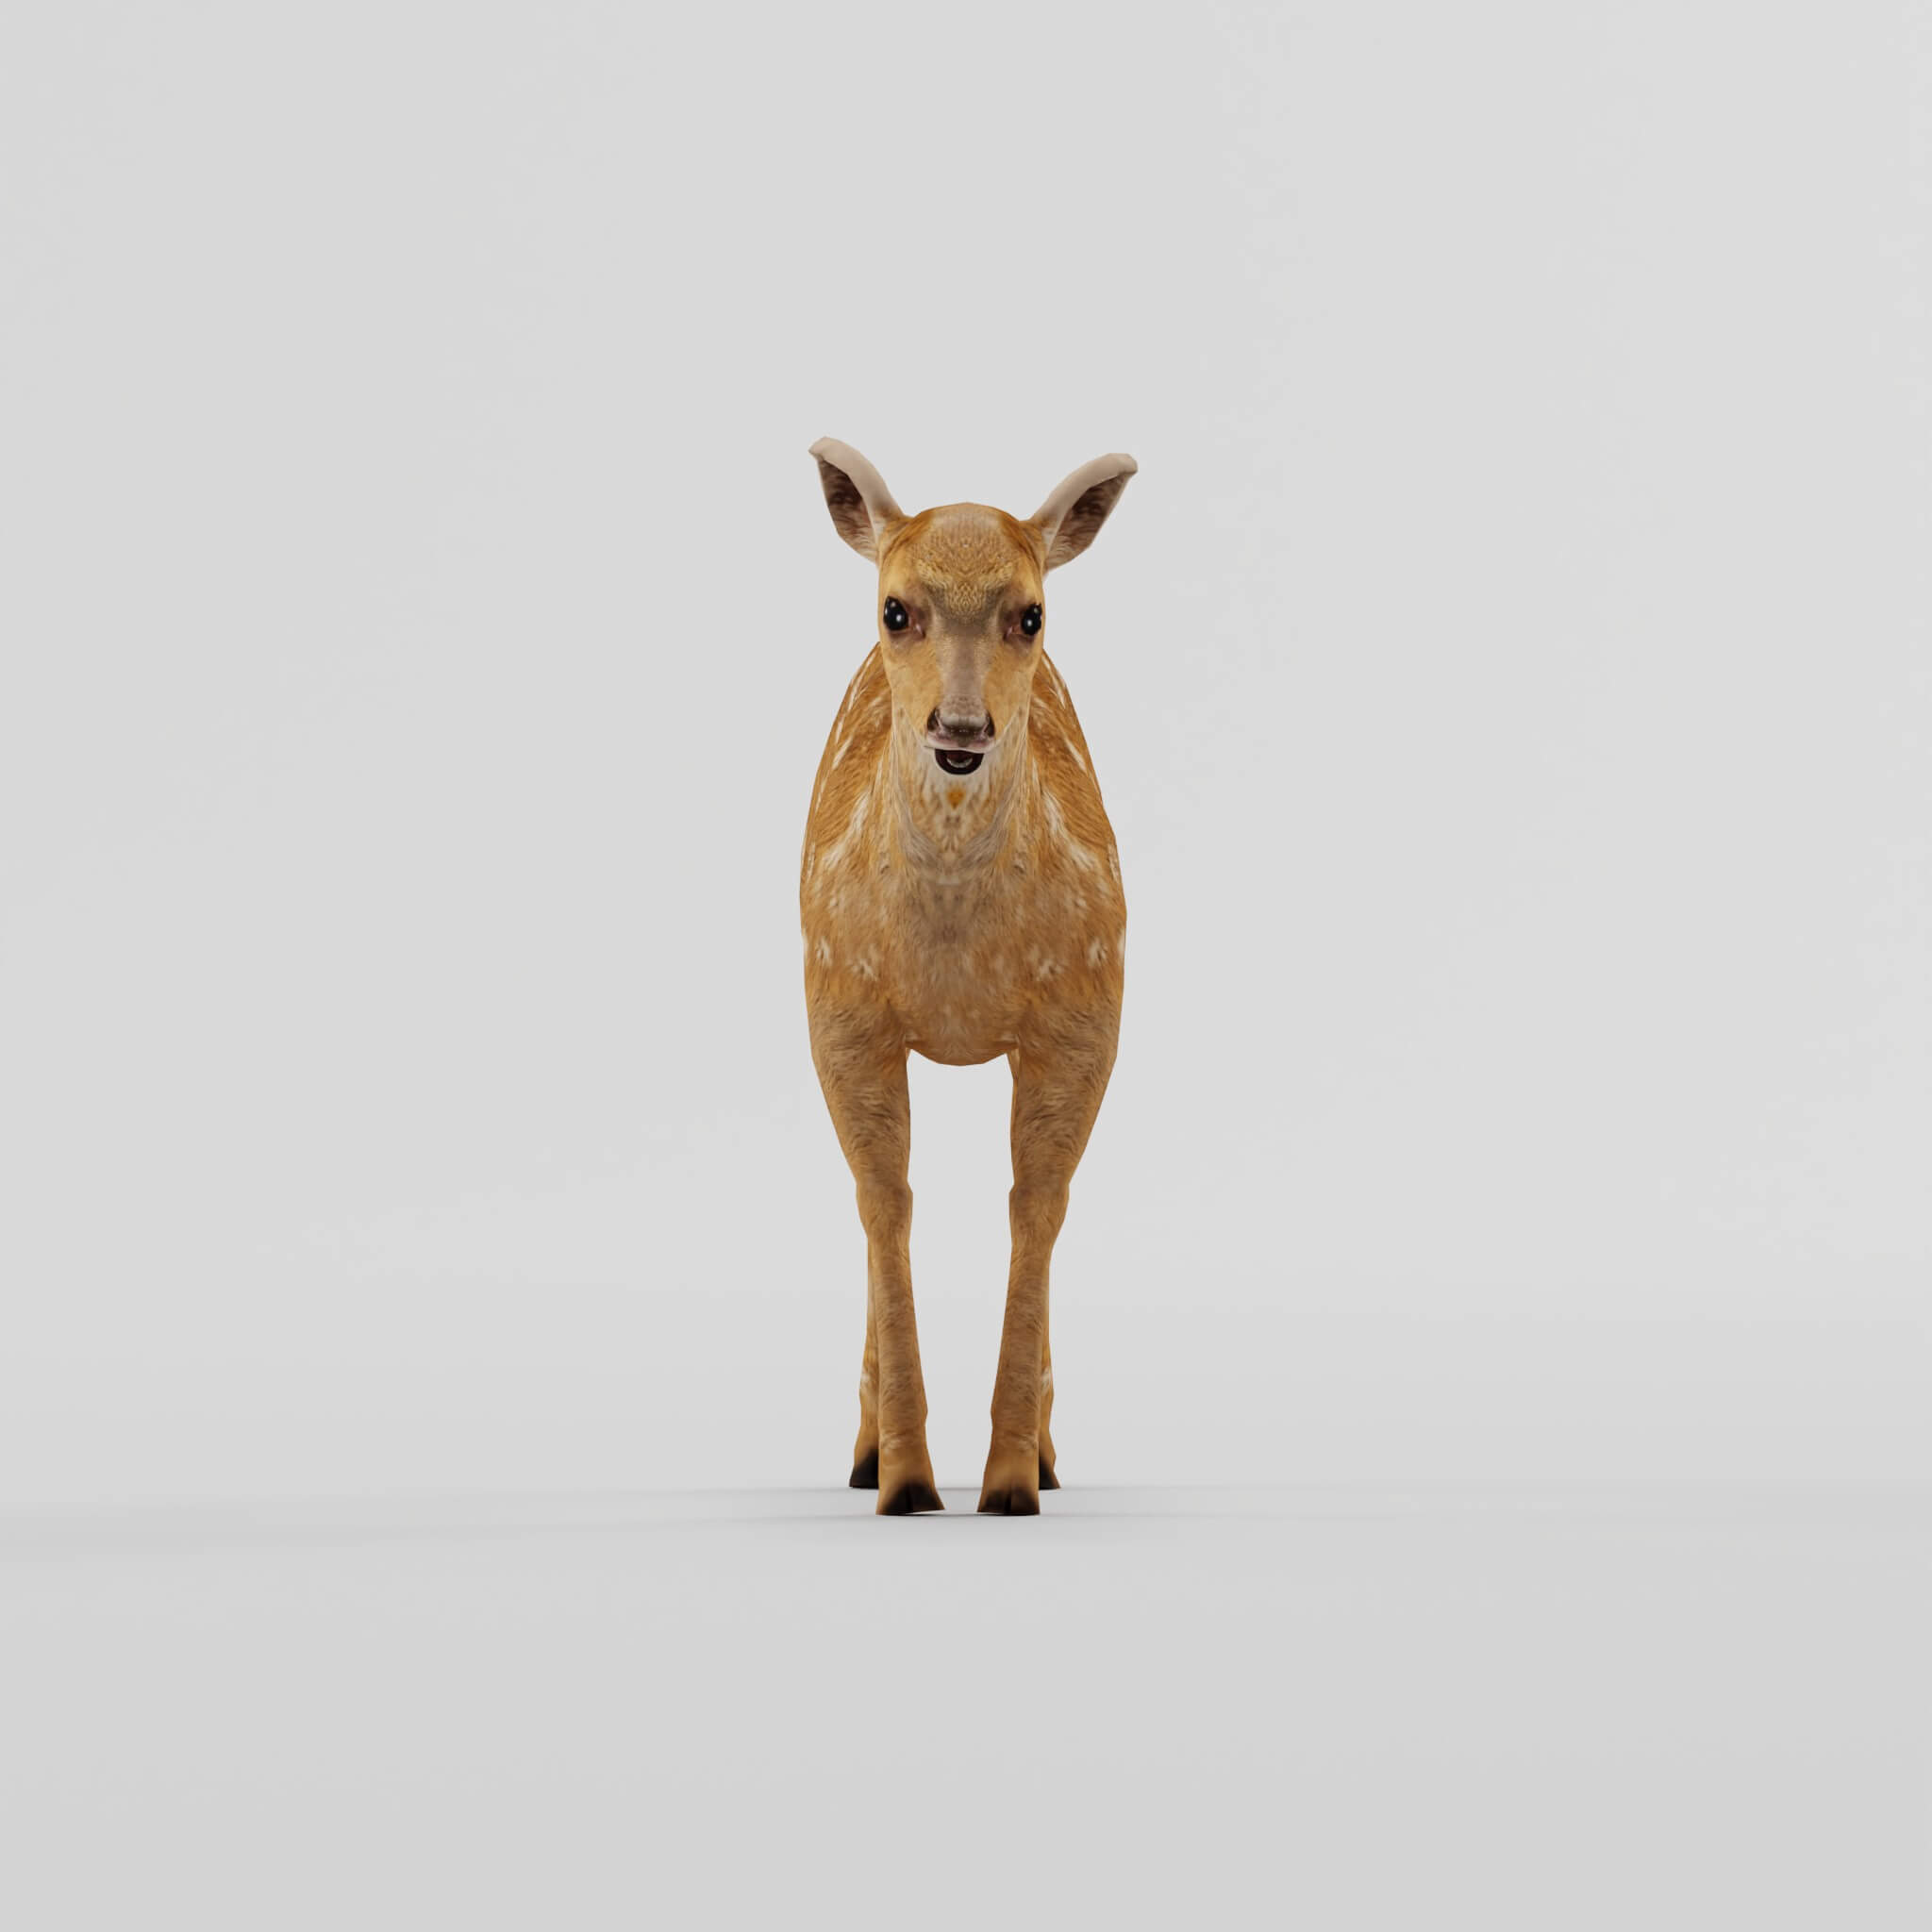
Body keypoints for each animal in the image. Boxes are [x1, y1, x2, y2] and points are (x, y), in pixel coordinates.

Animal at [800, 439, 1137, 1515]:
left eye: (1029, 614)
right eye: (895, 609)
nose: (960, 728)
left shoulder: (1085, 1007)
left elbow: (1037, 1200)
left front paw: (1011, 1480)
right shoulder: (840, 1003)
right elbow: (884, 1196)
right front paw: (905, 1480)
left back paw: (1049, 1454)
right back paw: (865, 1450)